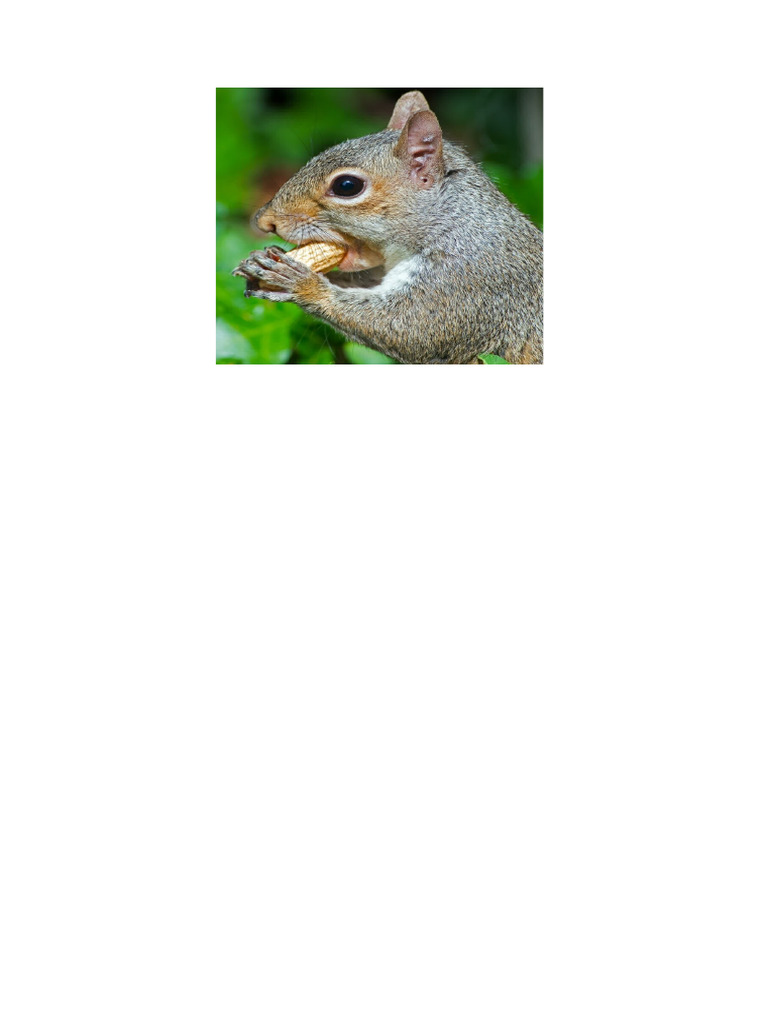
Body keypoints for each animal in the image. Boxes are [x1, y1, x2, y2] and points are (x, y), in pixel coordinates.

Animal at [232, 91, 542, 364]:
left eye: (347, 186)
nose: (263, 220)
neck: (450, 221)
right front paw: (261, 262)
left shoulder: (467, 281)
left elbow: (410, 329)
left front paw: (300, 282)